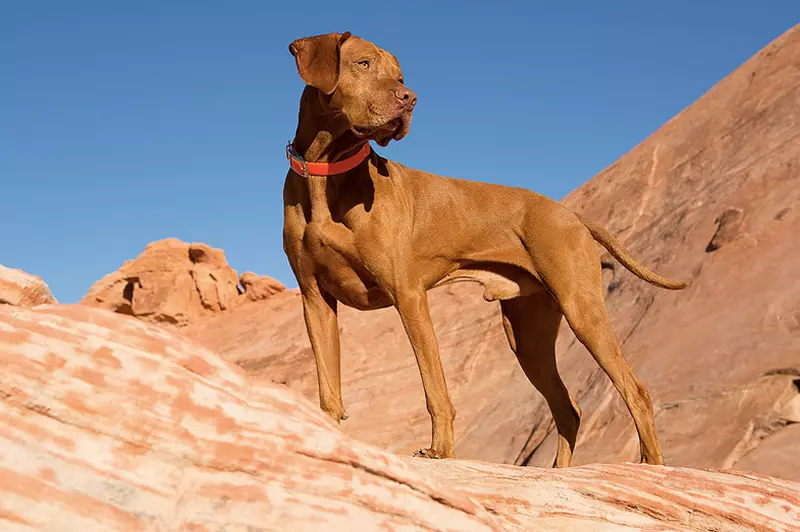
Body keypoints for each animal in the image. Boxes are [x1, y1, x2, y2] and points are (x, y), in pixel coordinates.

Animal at [282, 32, 688, 466]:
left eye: (400, 76)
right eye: (363, 64)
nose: (410, 99)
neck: (327, 174)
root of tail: (570, 213)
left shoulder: (408, 295)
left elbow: (434, 388)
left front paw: (440, 451)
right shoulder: (315, 300)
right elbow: (328, 390)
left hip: (581, 309)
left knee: (635, 390)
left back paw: (652, 466)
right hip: (527, 337)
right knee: (568, 409)